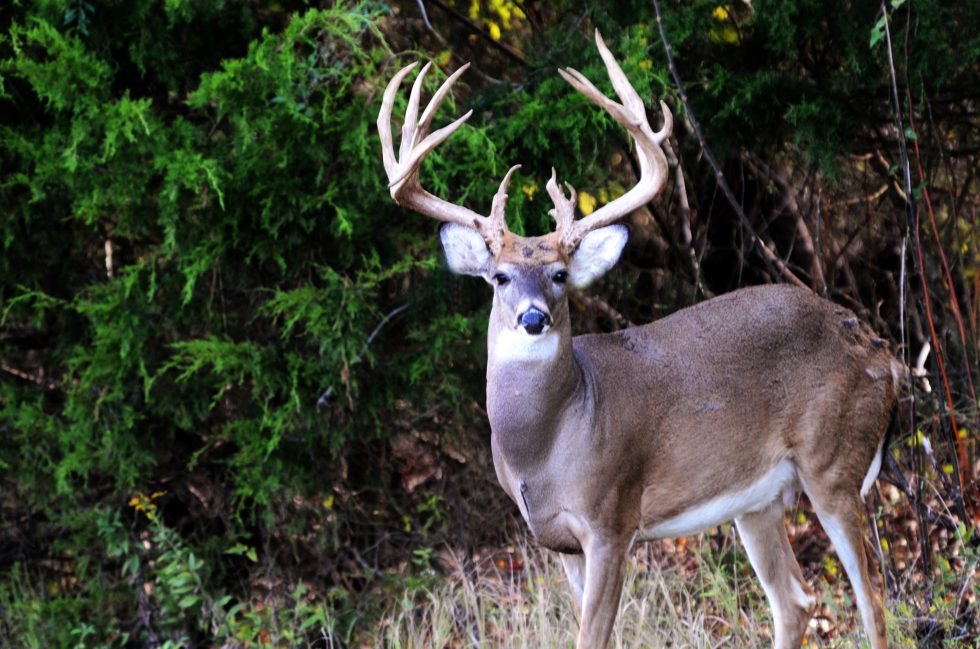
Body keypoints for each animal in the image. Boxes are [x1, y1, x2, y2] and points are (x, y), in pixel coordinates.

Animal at [378, 31, 902, 649]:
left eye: (560, 274)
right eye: (500, 277)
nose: (533, 318)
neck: (545, 447)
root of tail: (883, 354)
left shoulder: (612, 518)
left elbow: (592, 637)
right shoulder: (559, 542)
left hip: (834, 461)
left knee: (873, 604)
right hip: (758, 499)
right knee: (796, 600)